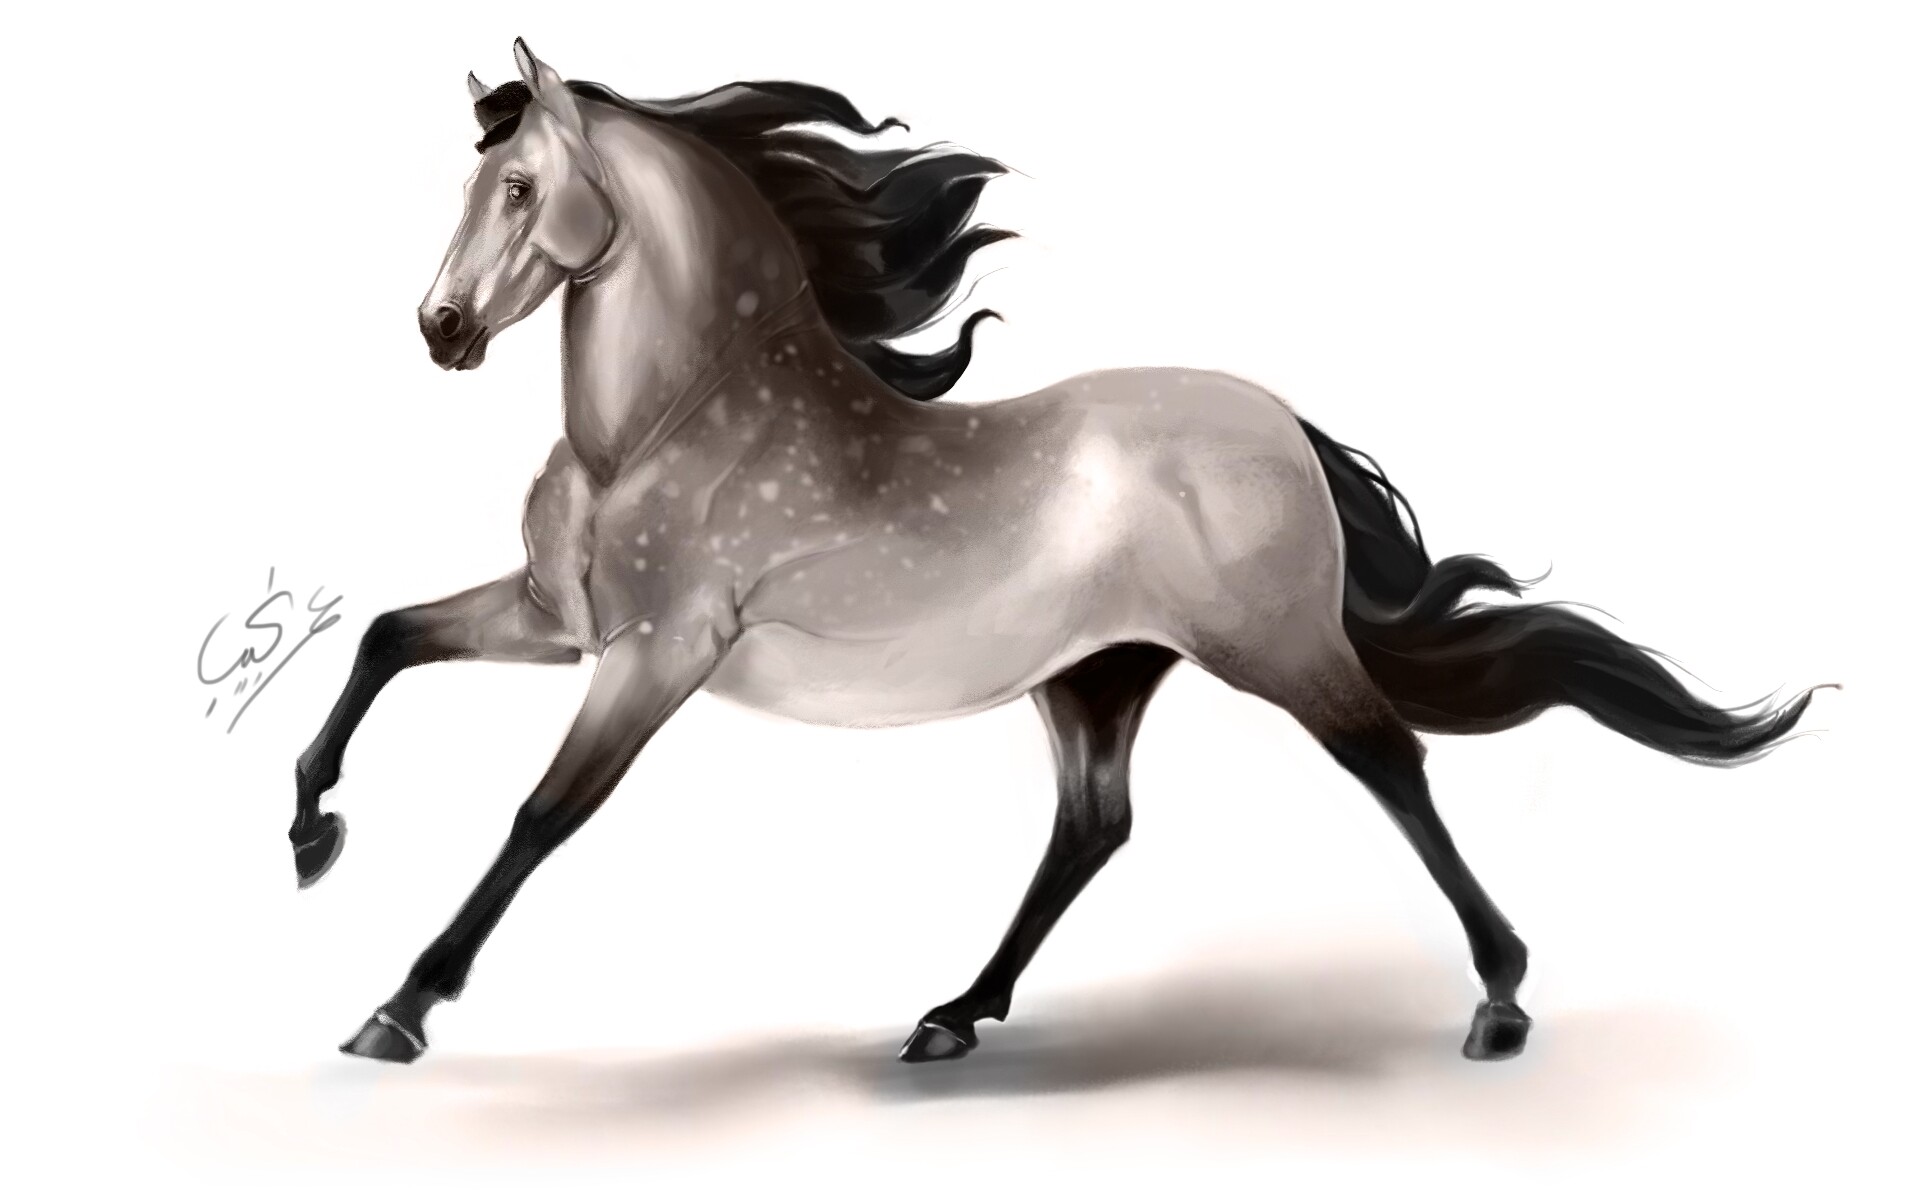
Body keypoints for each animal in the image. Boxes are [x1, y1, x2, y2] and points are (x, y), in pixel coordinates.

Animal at [293, 39, 1826, 1068]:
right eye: (471, 181)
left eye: (521, 185)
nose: (439, 330)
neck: (665, 422)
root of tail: (1284, 425)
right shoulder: (558, 620)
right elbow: (384, 636)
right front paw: (312, 834)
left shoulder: (656, 656)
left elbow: (540, 816)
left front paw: (397, 1009)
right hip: (1099, 673)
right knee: (1094, 824)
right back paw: (951, 1017)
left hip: (1276, 650)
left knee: (1389, 762)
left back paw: (1502, 1001)